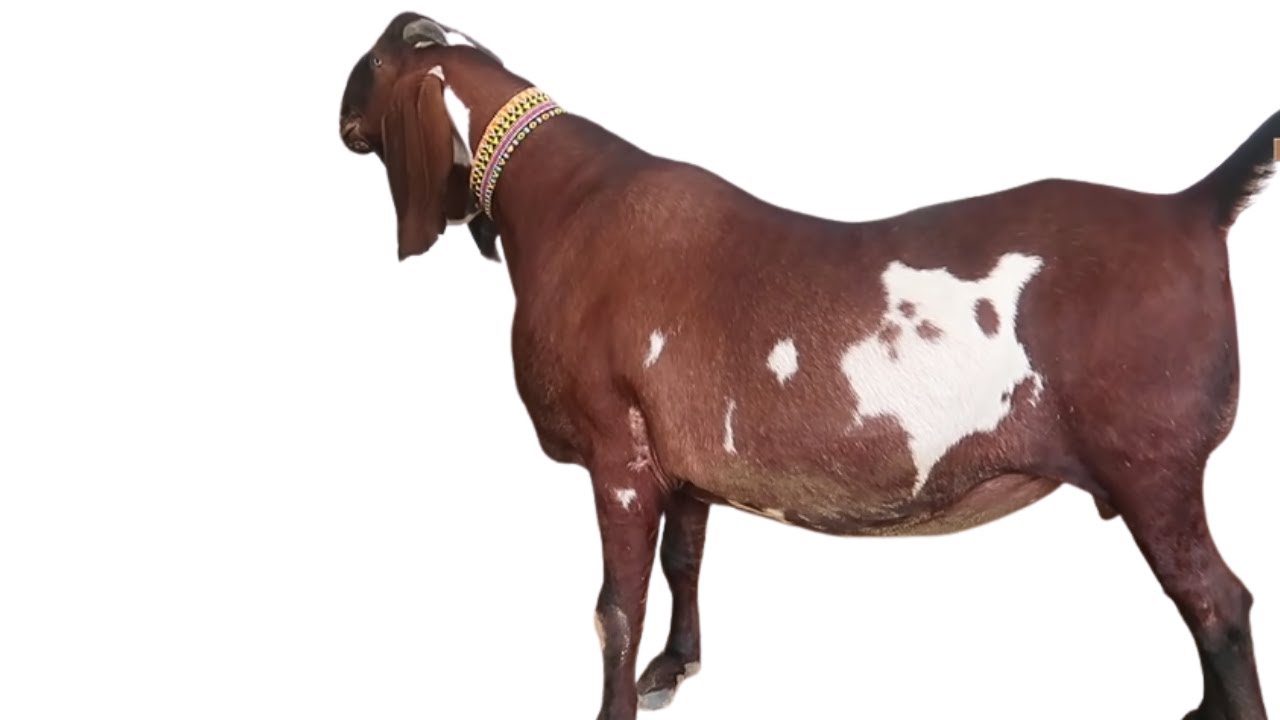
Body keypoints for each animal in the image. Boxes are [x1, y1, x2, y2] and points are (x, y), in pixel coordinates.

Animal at [338, 12, 1276, 720]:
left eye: (375, 62)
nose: (341, 118)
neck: (564, 206)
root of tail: (1190, 209)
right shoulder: (682, 460)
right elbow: (684, 562)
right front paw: (675, 669)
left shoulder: (619, 454)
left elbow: (614, 609)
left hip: (1151, 460)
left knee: (1217, 601)